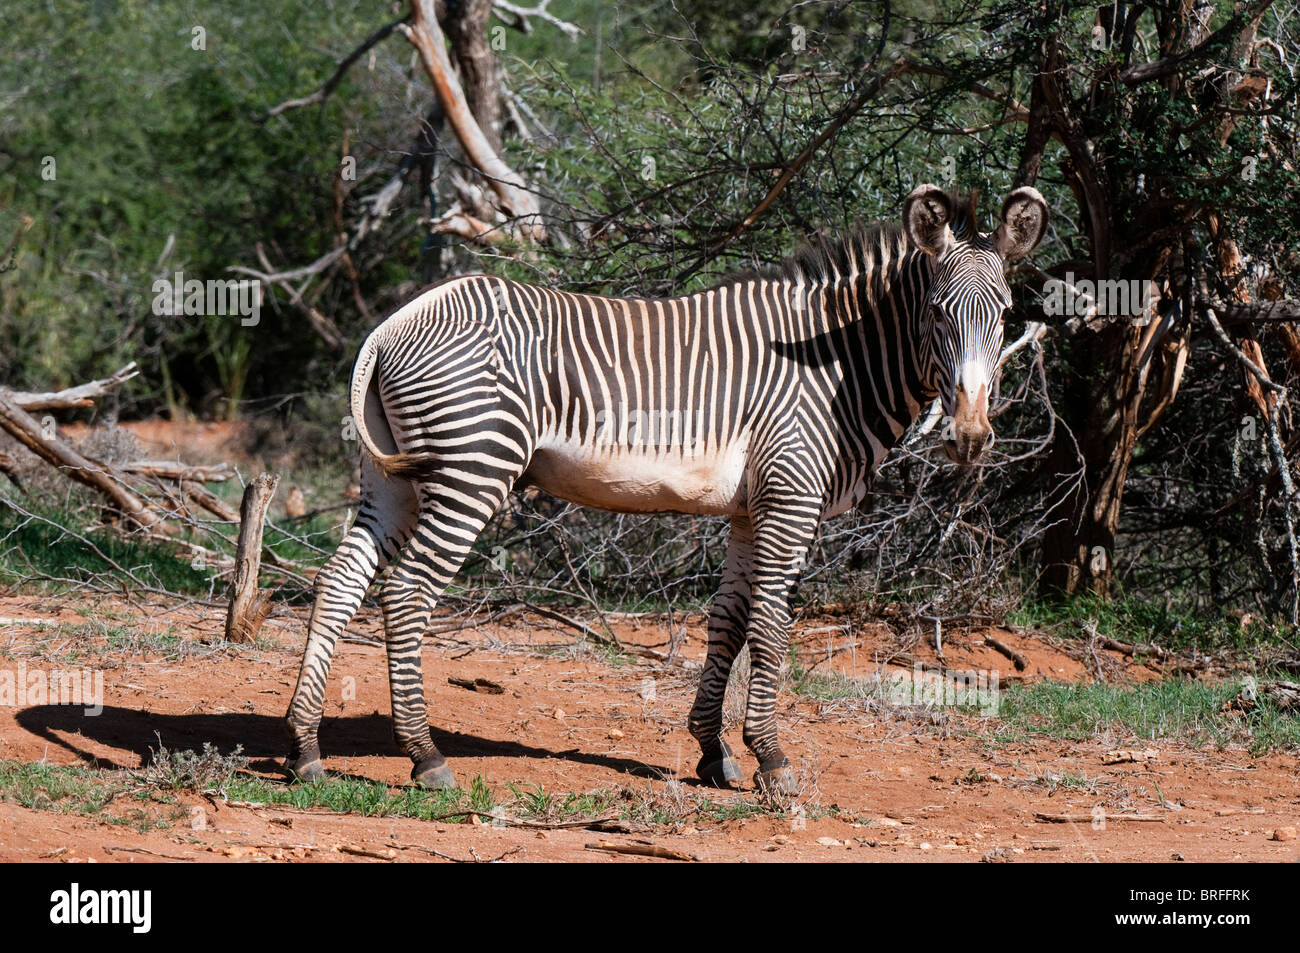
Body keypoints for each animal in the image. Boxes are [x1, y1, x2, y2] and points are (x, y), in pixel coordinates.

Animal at [283, 184, 1048, 795]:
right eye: (937, 313)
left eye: (1006, 314)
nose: (972, 434)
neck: (838, 365)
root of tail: (394, 322)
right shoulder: (790, 497)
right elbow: (771, 627)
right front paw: (773, 760)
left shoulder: (749, 509)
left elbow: (729, 621)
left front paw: (713, 752)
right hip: (473, 467)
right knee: (407, 590)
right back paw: (425, 756)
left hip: (394, 477)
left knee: (340, 579)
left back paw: (304, 748)